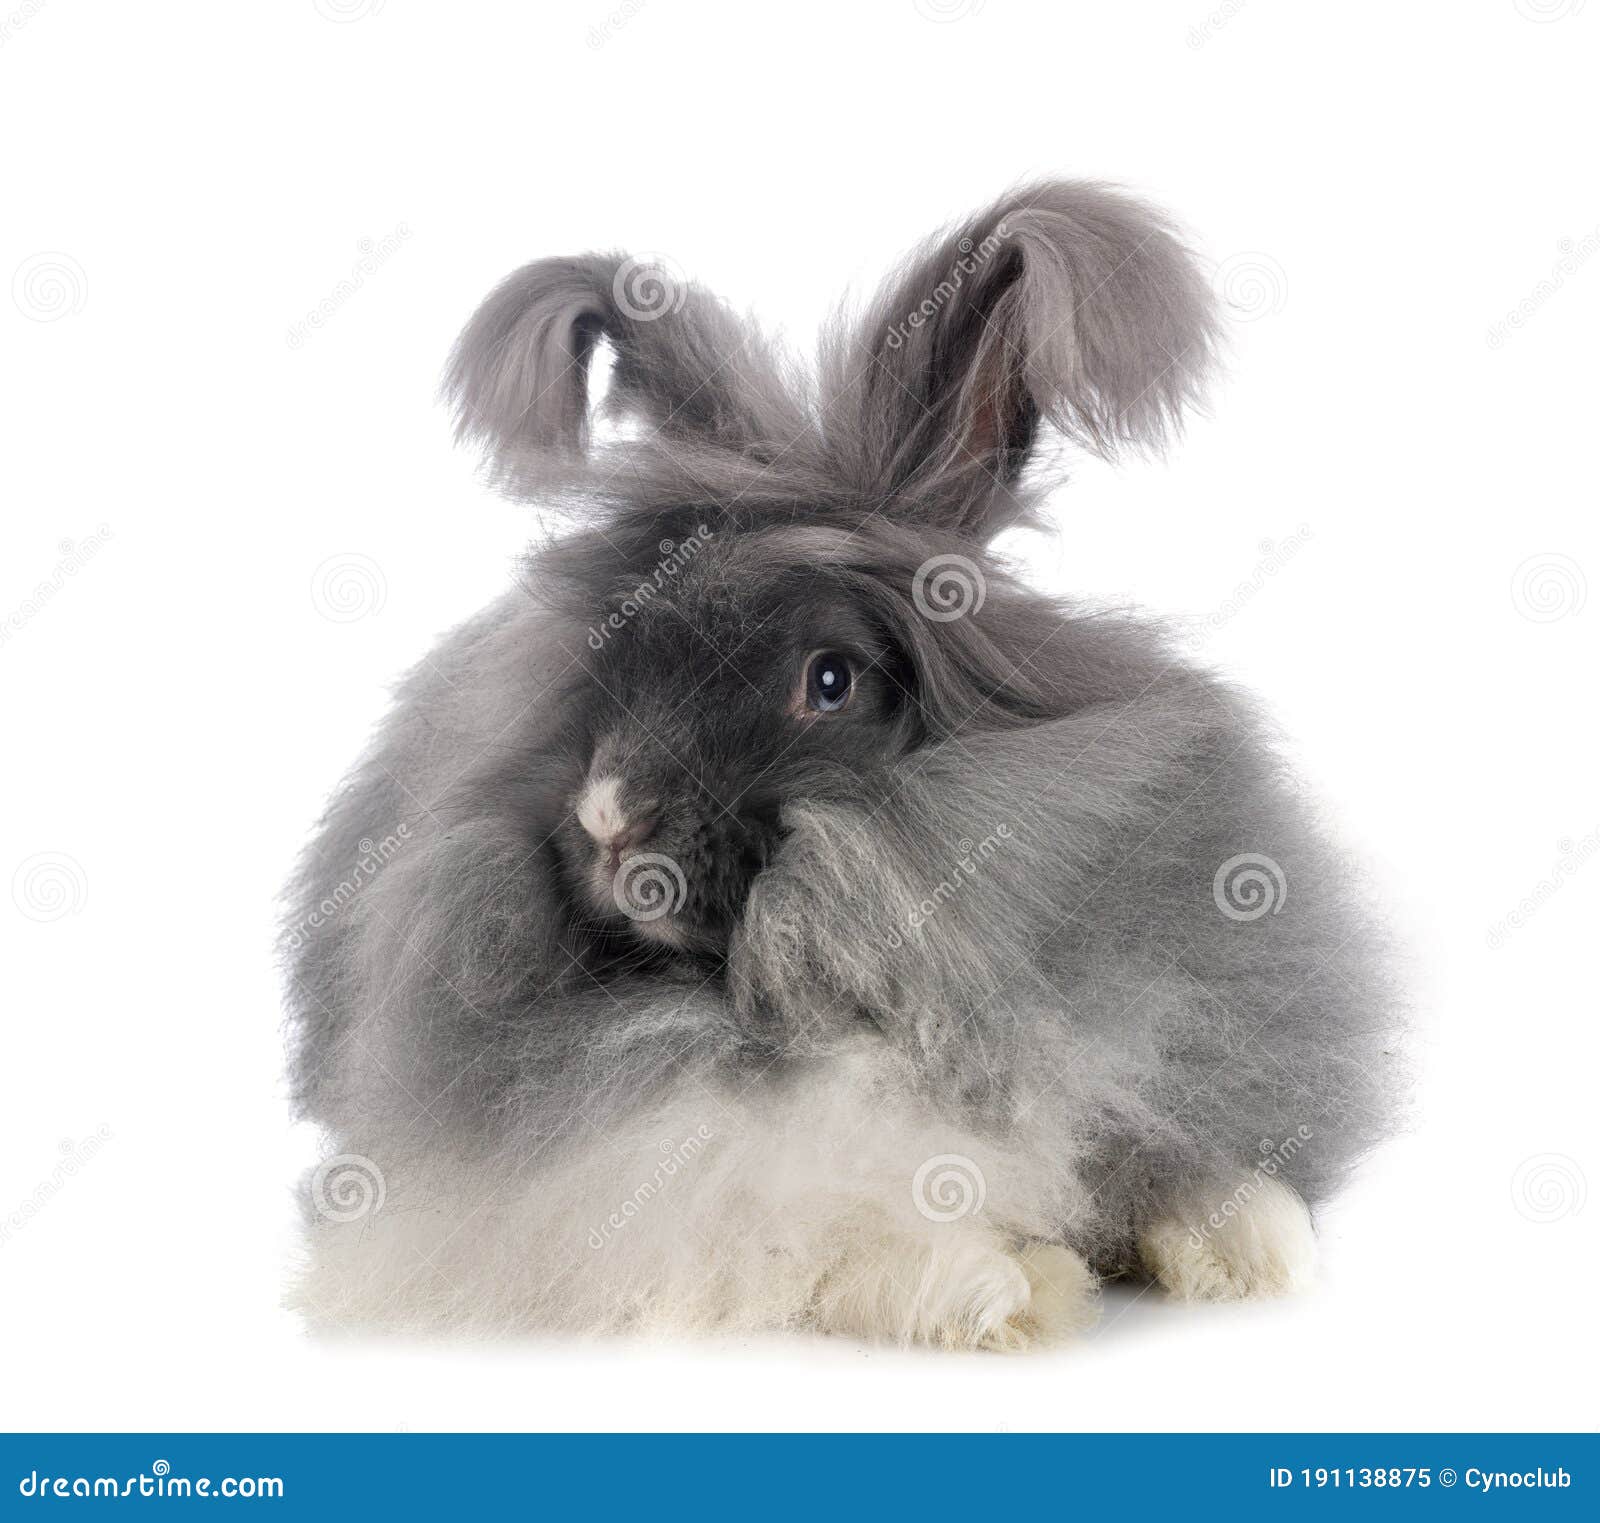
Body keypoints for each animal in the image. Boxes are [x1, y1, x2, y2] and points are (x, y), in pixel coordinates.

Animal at [283, 181, 1401, 1349]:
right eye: (613, 665)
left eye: (830, 680)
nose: (607, 816)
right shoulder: (684, 1188)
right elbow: (840, 1226)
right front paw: (1011, 1290)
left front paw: (1259, 1248)